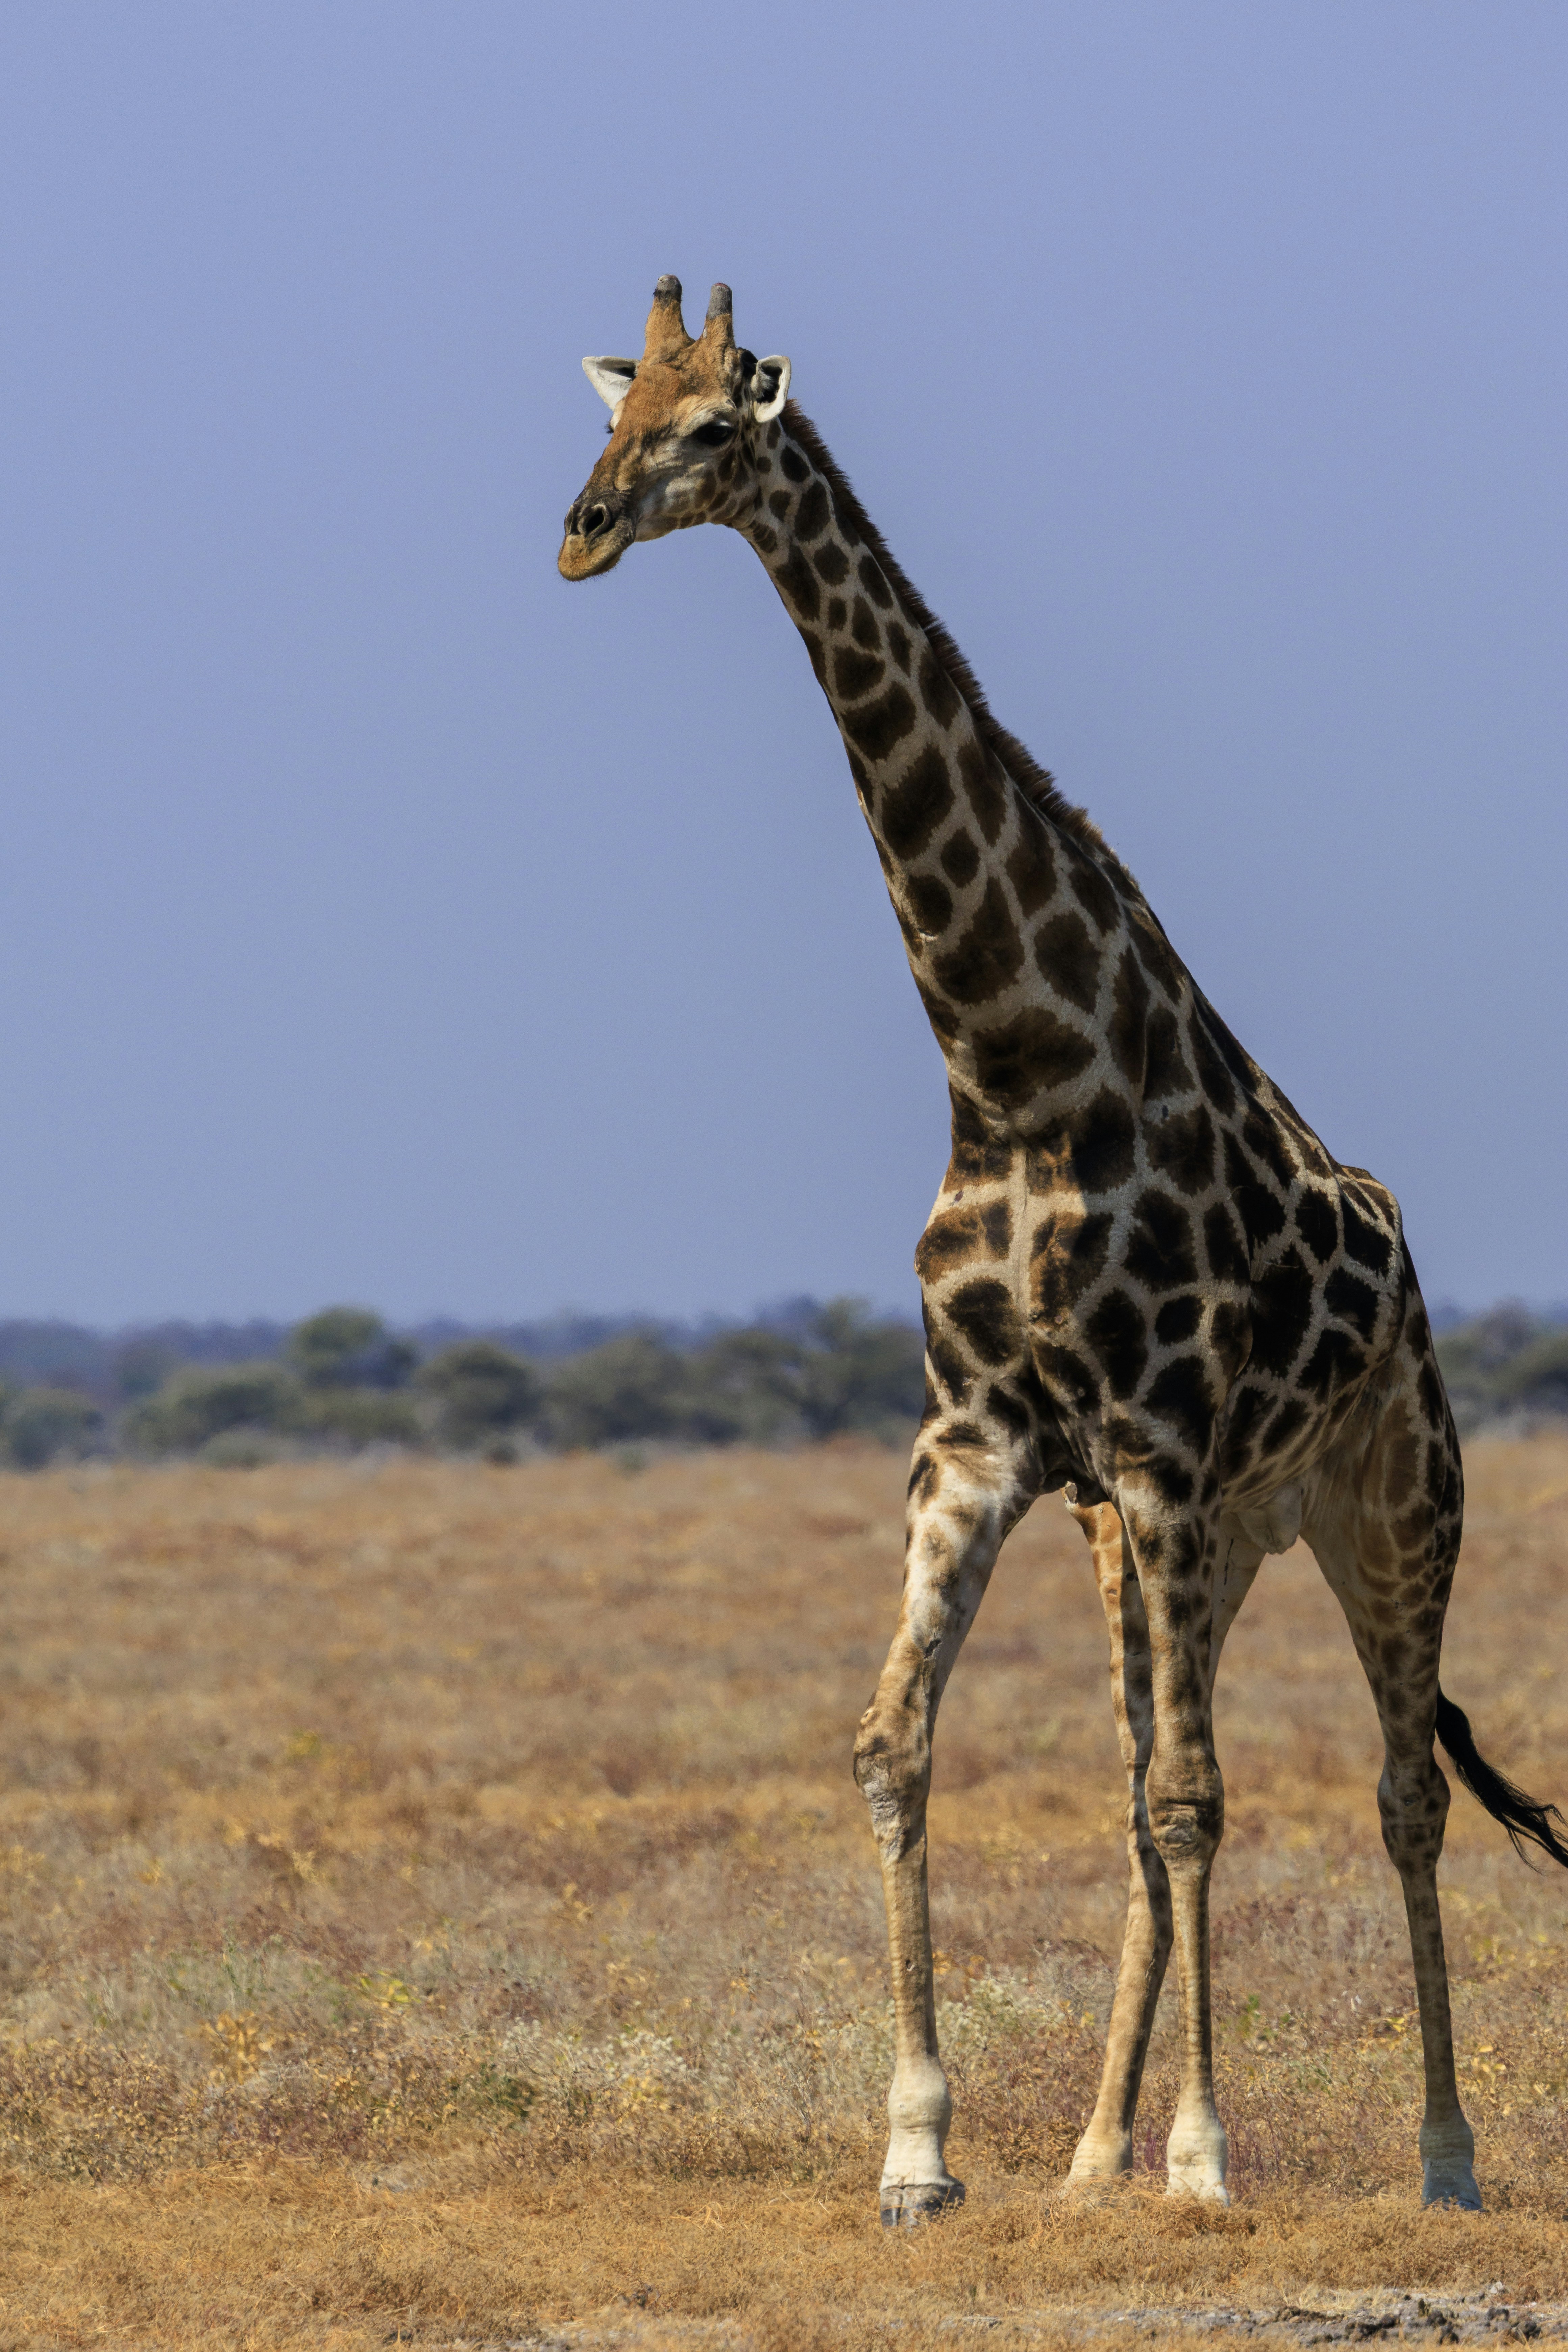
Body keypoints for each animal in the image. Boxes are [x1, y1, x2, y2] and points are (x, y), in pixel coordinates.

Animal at [557, 277, 1568, 2223]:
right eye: (612, 409)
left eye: (713, 425)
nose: (575, 532)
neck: (1015, 1072)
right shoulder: (985, 1447)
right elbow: (900, 1750)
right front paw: (925, 2149)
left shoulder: (1160, 1447)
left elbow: (1202, 1799)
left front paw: (1205, 2155)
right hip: (1193, 1543)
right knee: (1141, 1796)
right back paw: (1092, 2150)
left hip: (1387, 1502)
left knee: (1396, 1793)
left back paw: (1441, 2156)